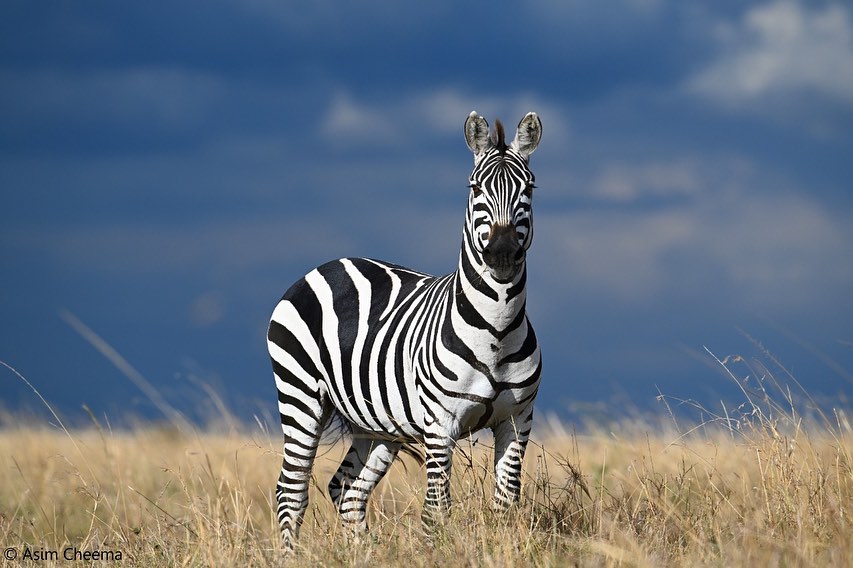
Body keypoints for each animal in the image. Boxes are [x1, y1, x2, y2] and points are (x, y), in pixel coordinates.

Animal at [268, 110, 543, 548]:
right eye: (474, 187)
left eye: (528, 188)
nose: (501, 255)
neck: (496, 333)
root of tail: (328, 264)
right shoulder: (440, 425)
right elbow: (436, 511)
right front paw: (436, 551)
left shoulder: (518, 420)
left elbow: (505, 505)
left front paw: (503, 549)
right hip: (300, 395)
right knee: (291, 490)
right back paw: (290, 554)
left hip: (378, 423)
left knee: (347, 488)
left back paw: (361, 552)